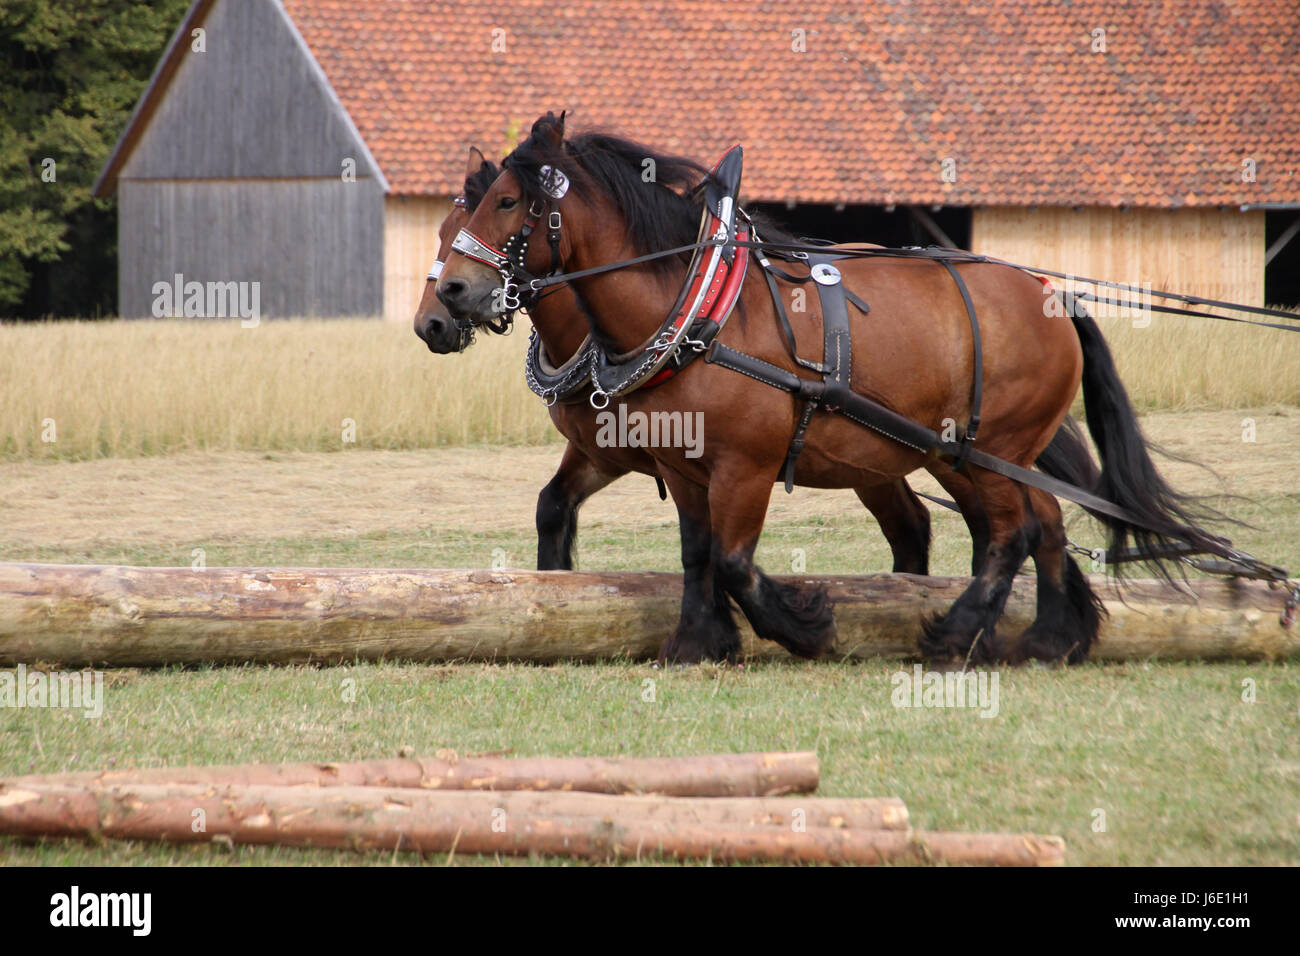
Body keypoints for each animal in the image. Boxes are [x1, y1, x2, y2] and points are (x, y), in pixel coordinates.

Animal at [439, 115, 1182, 665]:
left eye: (507, 201)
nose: (449, 296)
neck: (701, 310)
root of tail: (1050, 293)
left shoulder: (747, 466)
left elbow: (735, 561)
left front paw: (807, 624)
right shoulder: (681, 466)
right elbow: (697, 553)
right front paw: (699, 642)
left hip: (989, 449)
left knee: (1011, 532)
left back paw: (956, 635)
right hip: (976, 455)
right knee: (1043, 524)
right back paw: (1047, 638)